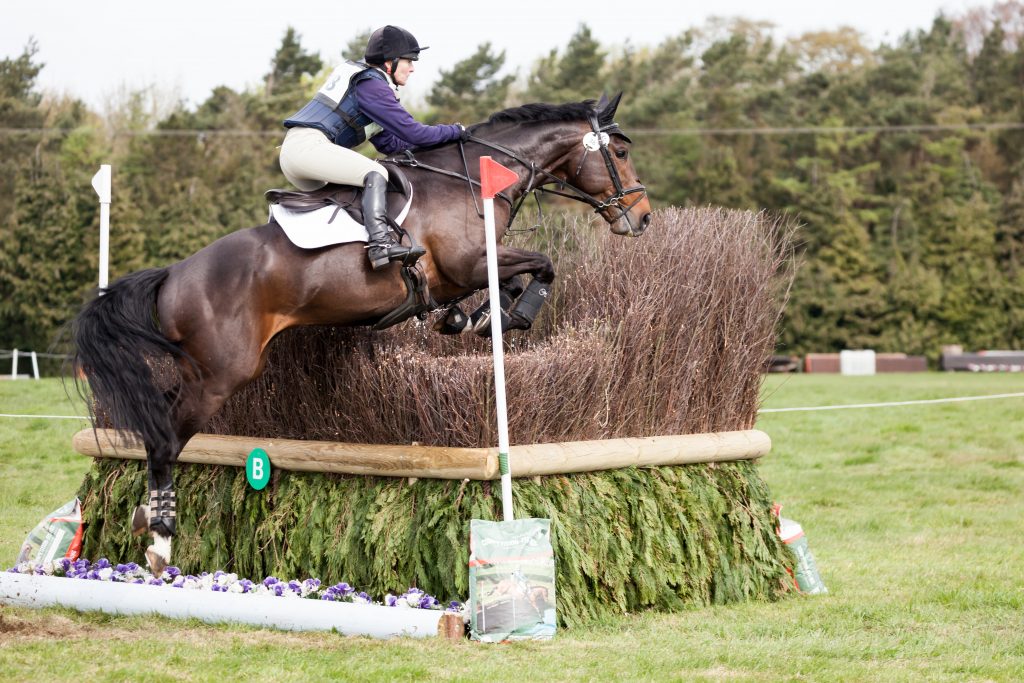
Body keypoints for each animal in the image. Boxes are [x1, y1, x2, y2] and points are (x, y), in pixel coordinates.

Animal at [72, 93, 652, 575]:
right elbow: (544, 266)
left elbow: (512, 280)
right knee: (166, 440)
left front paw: (472, 318)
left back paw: (145, 519)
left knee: (156, 425)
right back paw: (161, 540)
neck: (468, 181)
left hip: (196, 368)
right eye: (621, 151)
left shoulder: (472, 269)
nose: (642, 218)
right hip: (221, 373)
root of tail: (174, 274)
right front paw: (507, 316)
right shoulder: (467, 264)